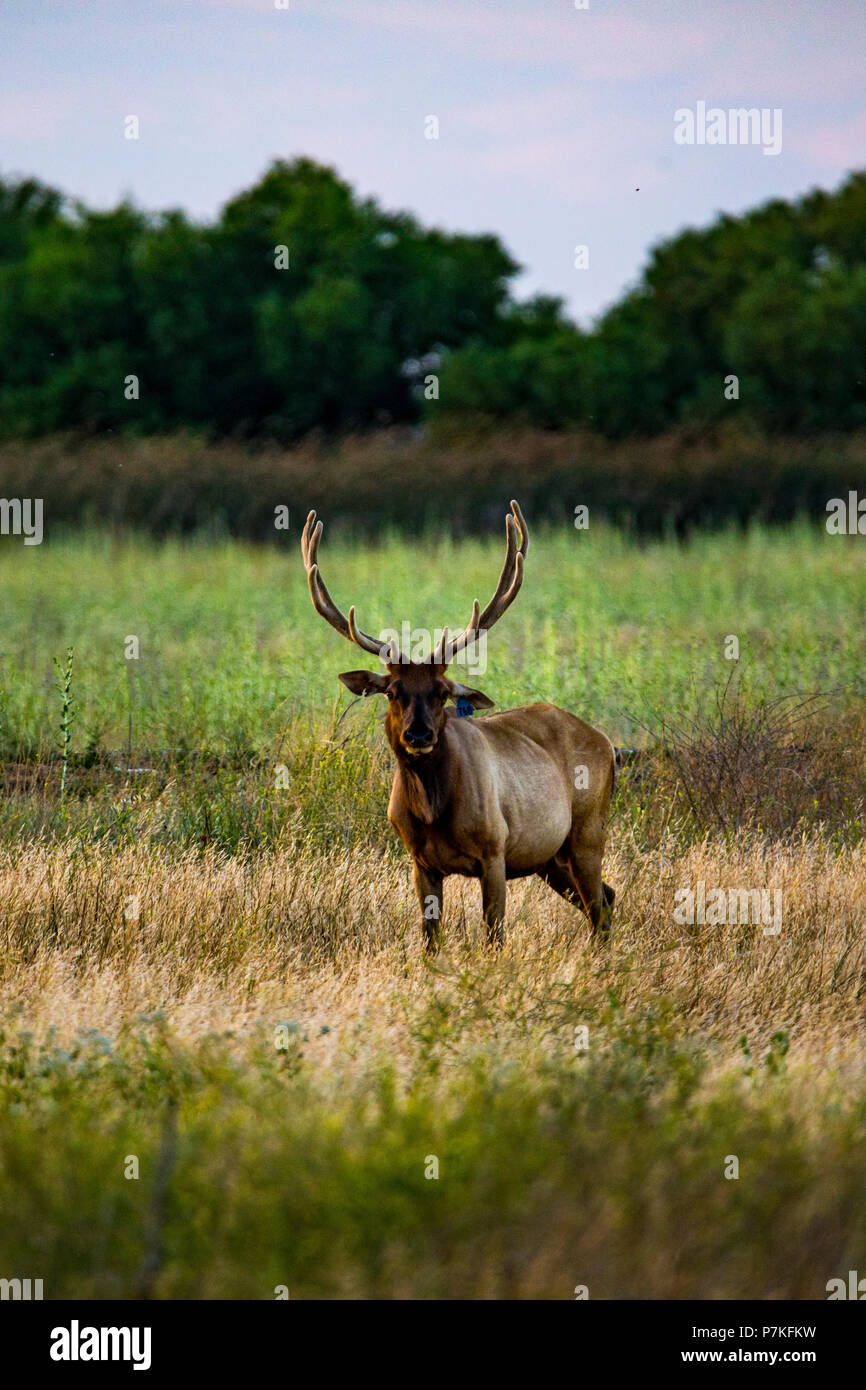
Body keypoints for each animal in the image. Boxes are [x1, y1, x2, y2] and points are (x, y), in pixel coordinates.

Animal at [301, 501, 616, 953]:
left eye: (443, 692)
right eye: (392, 691)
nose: (418, 735)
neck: (434, 811)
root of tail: (607, 743)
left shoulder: (495, 850)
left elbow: (494, 935)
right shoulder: (421, 862)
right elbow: (430, 938)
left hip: (588, 830)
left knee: (600, 907)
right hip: (548, 857)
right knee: (606, 898)